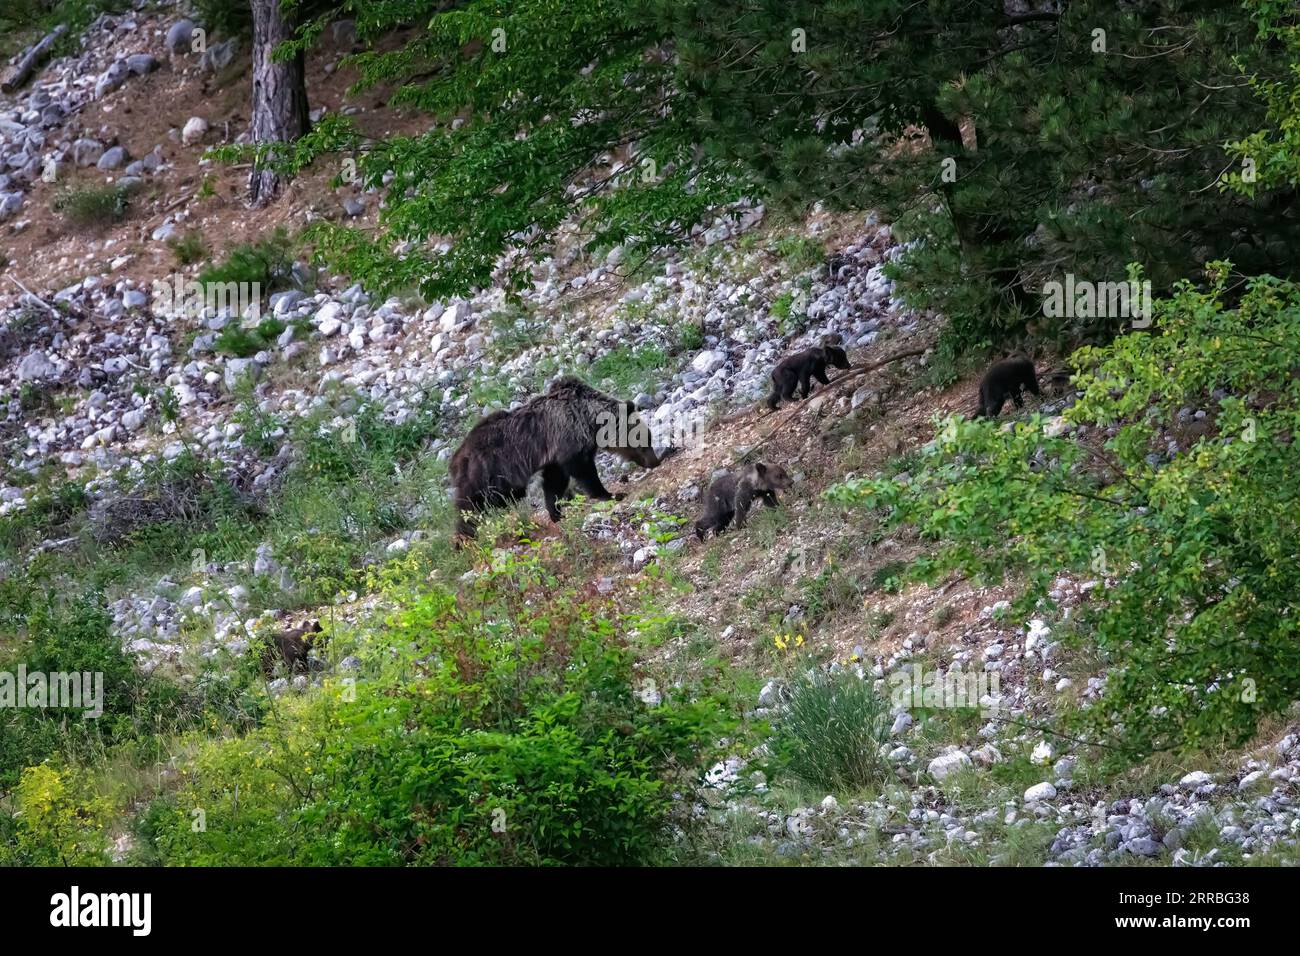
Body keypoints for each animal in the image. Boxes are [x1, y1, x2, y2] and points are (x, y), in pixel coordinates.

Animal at [449, 376, 674, 541]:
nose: (654, 461)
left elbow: (554, 482)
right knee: (473, 505)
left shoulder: (555, 456)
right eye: (644, 441)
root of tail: (456, 459)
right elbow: (583, 471)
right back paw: (465, 538)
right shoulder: (568, 439)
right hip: (490, 472)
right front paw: (611, 494)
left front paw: (556, 513)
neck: (589, 419)